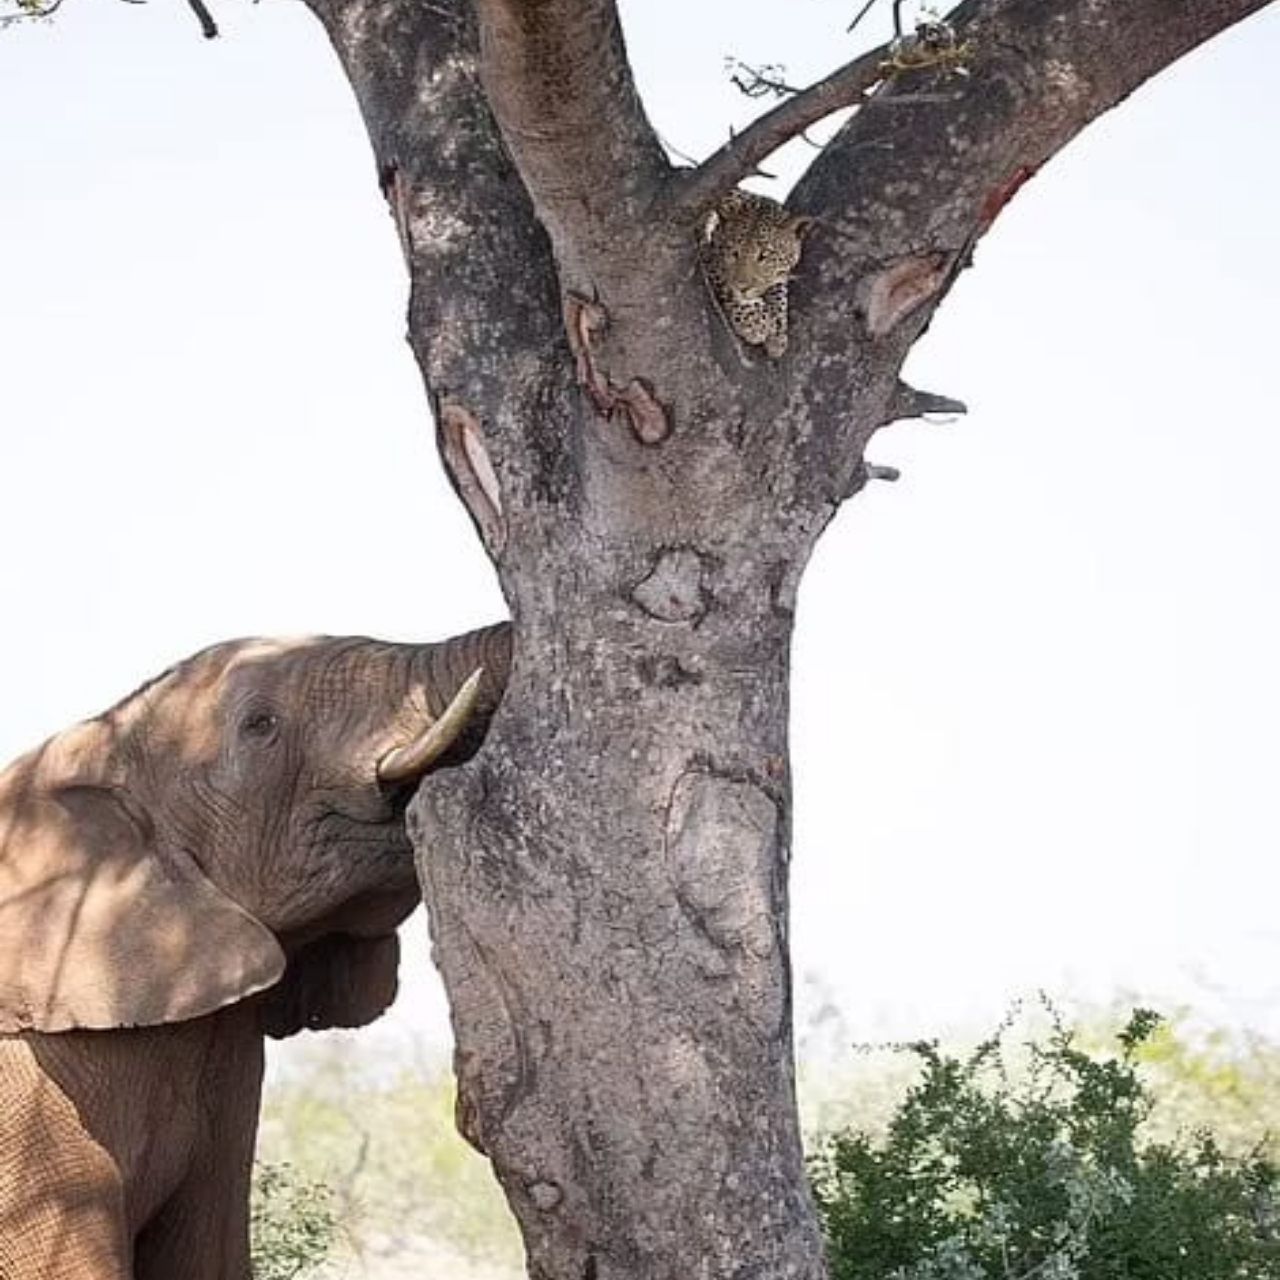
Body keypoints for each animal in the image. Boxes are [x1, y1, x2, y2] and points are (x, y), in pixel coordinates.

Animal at [698, 188, 813, 359]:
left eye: (764, 255)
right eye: (734, 253)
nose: (743, 288)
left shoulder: (778, 276)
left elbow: (778, 293)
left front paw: (777, 334)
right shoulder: (706, 251)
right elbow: (726, 284)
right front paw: (754, 321)